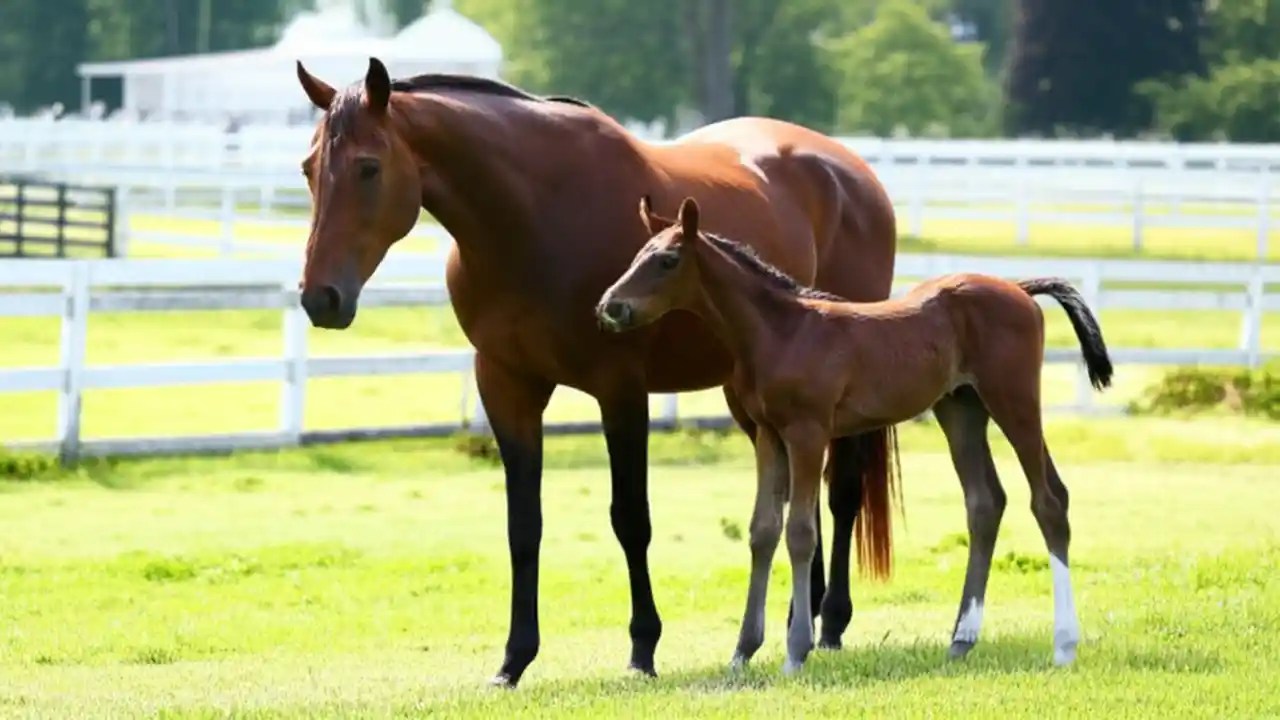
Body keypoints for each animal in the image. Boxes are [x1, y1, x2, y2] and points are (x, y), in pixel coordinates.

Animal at [292, 57, 898, 687]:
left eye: (368, 167)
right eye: (309, 169)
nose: (320, 298)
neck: (532, 219)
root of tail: (851, 171)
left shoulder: (620, 389)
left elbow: (630, 518)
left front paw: (643, 648)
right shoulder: (506, 386)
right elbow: (523, 524)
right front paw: (514, 659)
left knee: (842, 492)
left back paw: (830, 624)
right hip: (757, 395)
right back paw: (799, 621)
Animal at [596, 196, 1113, 674]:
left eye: (667, 260)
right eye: (637, 254)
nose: (610, 307)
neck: (781, 331)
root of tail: (1020, 288)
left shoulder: (808, 432)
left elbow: (800, 532)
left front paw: (795, 652)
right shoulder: (768, 435)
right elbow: (763, 531)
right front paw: (742, 652)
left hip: (1014, 401)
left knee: (1049, 501)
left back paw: (1064, 645)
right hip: (960, 409)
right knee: (985, 503)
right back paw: (961, 640)